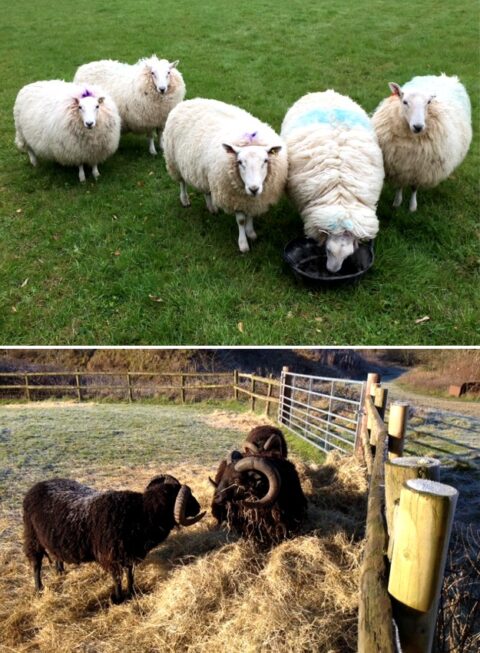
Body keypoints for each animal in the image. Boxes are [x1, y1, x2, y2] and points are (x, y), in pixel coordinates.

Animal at [23, 474, 205, 603]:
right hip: (32, 536)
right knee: (36, 564)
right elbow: (117, 578)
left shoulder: (129, 554)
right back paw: (39, 588)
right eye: (187, 497)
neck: (141, 514)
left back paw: (59, 571)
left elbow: (130, 574)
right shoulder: (111, 556)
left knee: (55, 554)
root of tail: (37, 486)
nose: (199, 507)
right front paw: (118, 598)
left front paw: (132, 592)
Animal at [162, 98, 288, 252]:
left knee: (206, 190)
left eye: (265, 161)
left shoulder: (251, 199)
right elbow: (241, 220)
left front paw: (251, 233)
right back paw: (185, 199)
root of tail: (187, 101)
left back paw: (212, 208)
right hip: (174, 160)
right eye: (240, 162)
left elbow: (250, 215)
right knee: (182, 183)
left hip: (204, 171)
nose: (254, 189)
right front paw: (243, 244)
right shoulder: (233, 197)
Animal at [372, 74, 472, 211]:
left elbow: (414, 188)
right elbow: (399, 185)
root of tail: (446, 77)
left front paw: (412, 207)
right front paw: (397, 203)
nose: (418, 127)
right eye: (404, 102)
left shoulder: (420, 170)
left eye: (428, 102)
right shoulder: (398, 166)